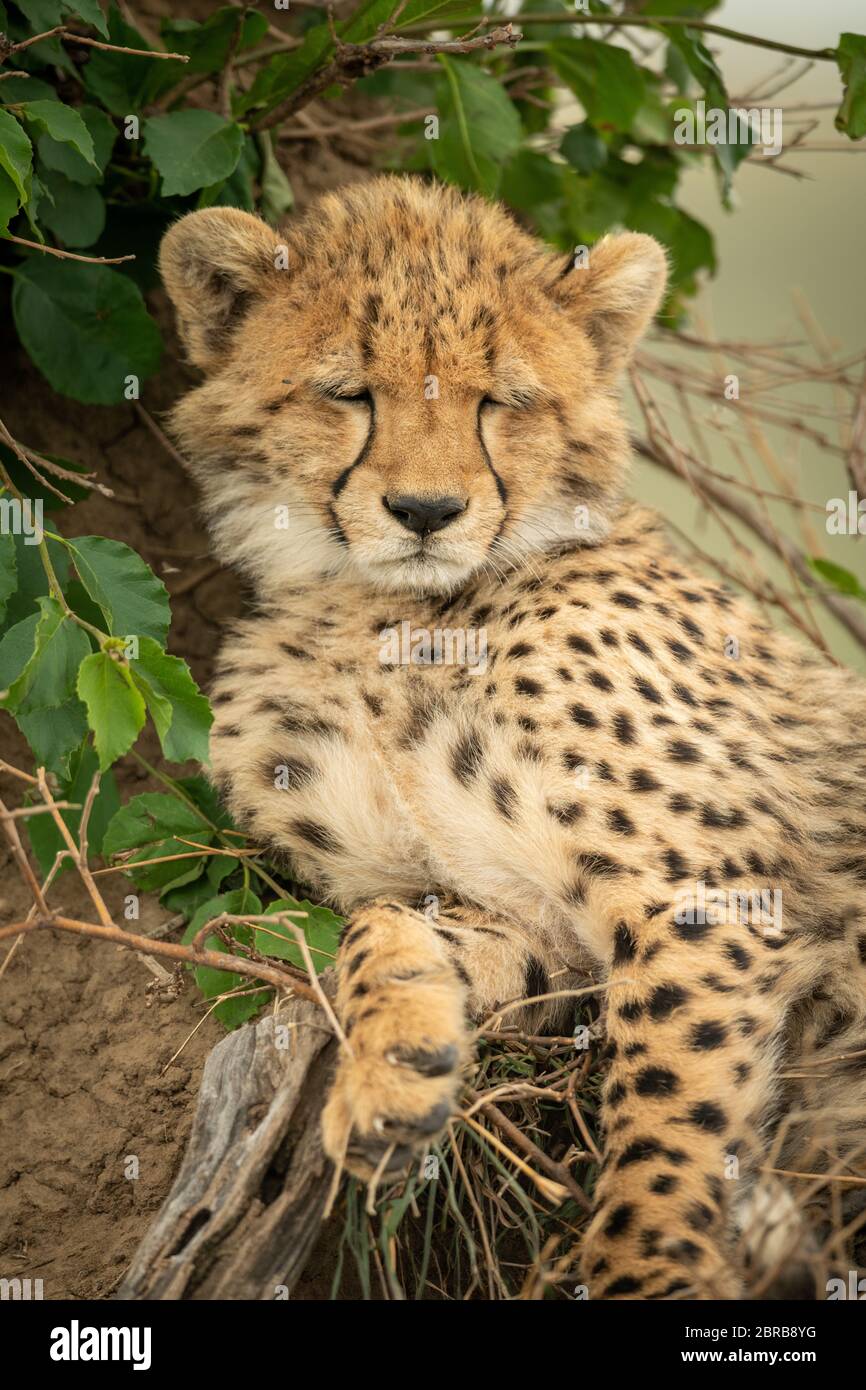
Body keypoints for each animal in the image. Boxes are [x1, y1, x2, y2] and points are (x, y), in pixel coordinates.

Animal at [159, 174, 866, 1300]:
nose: (424, 509)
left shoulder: (701, 887)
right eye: (348, 393)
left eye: (504, 401)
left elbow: (667, 1112)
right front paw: (394, 1067)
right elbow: (386, 921)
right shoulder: (541, 929)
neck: (386, 617)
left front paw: (641, 1266)